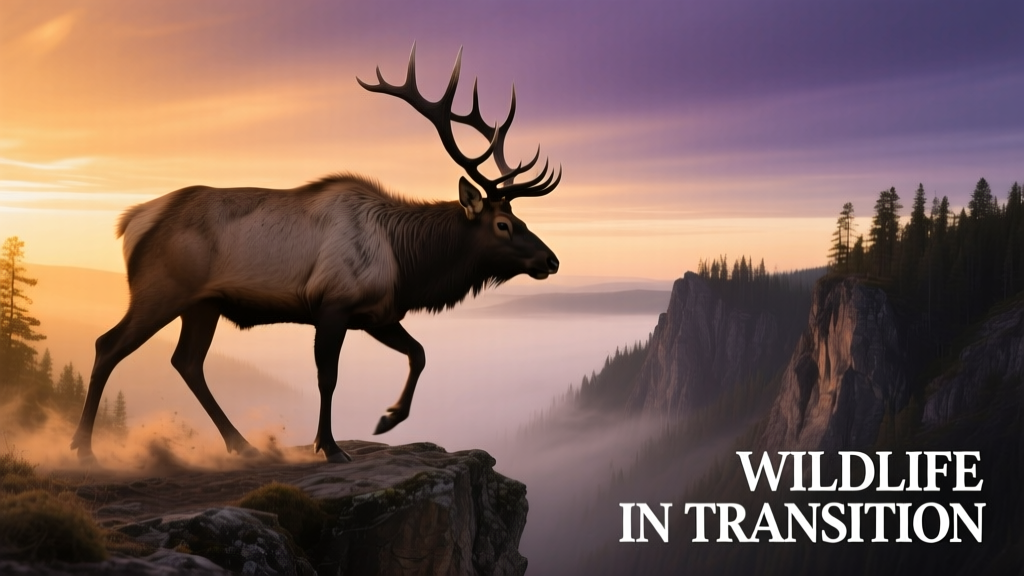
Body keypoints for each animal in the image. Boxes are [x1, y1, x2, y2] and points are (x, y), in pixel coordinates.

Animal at [71, 47, 560, 463]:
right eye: (503, 224)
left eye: (517, 218)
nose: (551, 260)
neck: (407, 263)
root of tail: (133, 222)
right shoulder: (333, 304)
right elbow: (329, 376)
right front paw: (329, 446)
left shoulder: (377, 313)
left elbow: (419, 353)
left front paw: (388, 418)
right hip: (160, 291)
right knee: (107, 345)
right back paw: (83, 448)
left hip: (202, 304)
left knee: (187, 362)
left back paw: (242, 444)